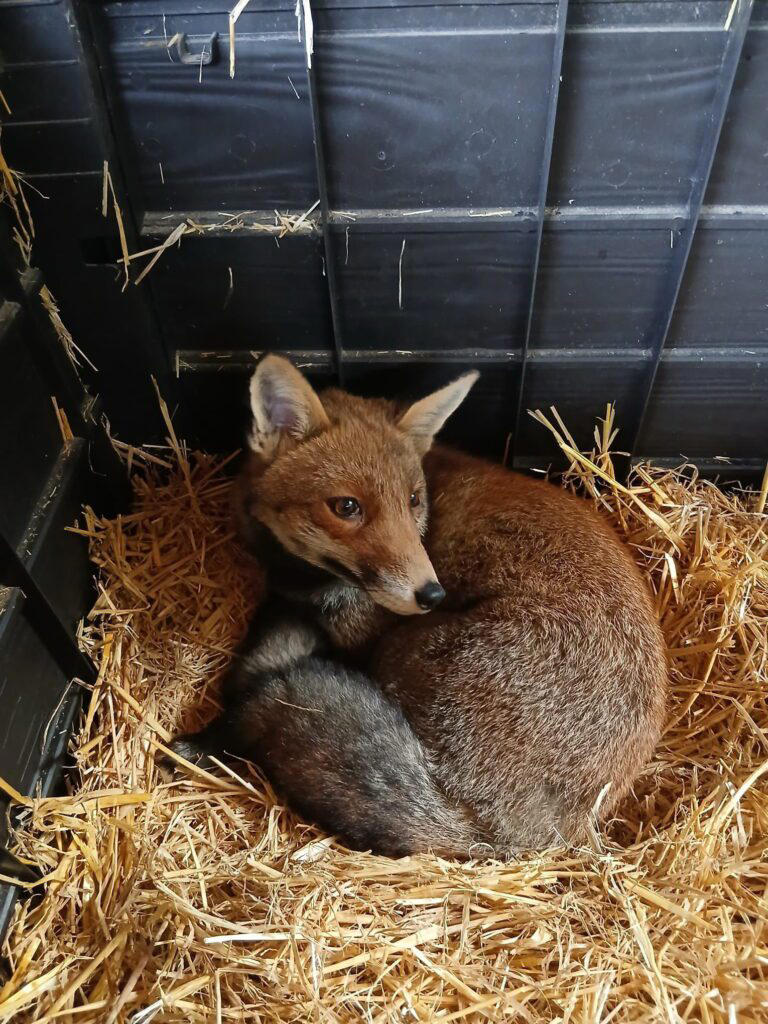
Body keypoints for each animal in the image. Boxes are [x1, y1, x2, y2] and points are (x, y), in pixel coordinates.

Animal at [169, 354, 667, 856]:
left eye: (413, 500)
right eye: (346, 506)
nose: (432, 595)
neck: (298, 574)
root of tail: (498, 836)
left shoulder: (358, 633)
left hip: (402, 652)